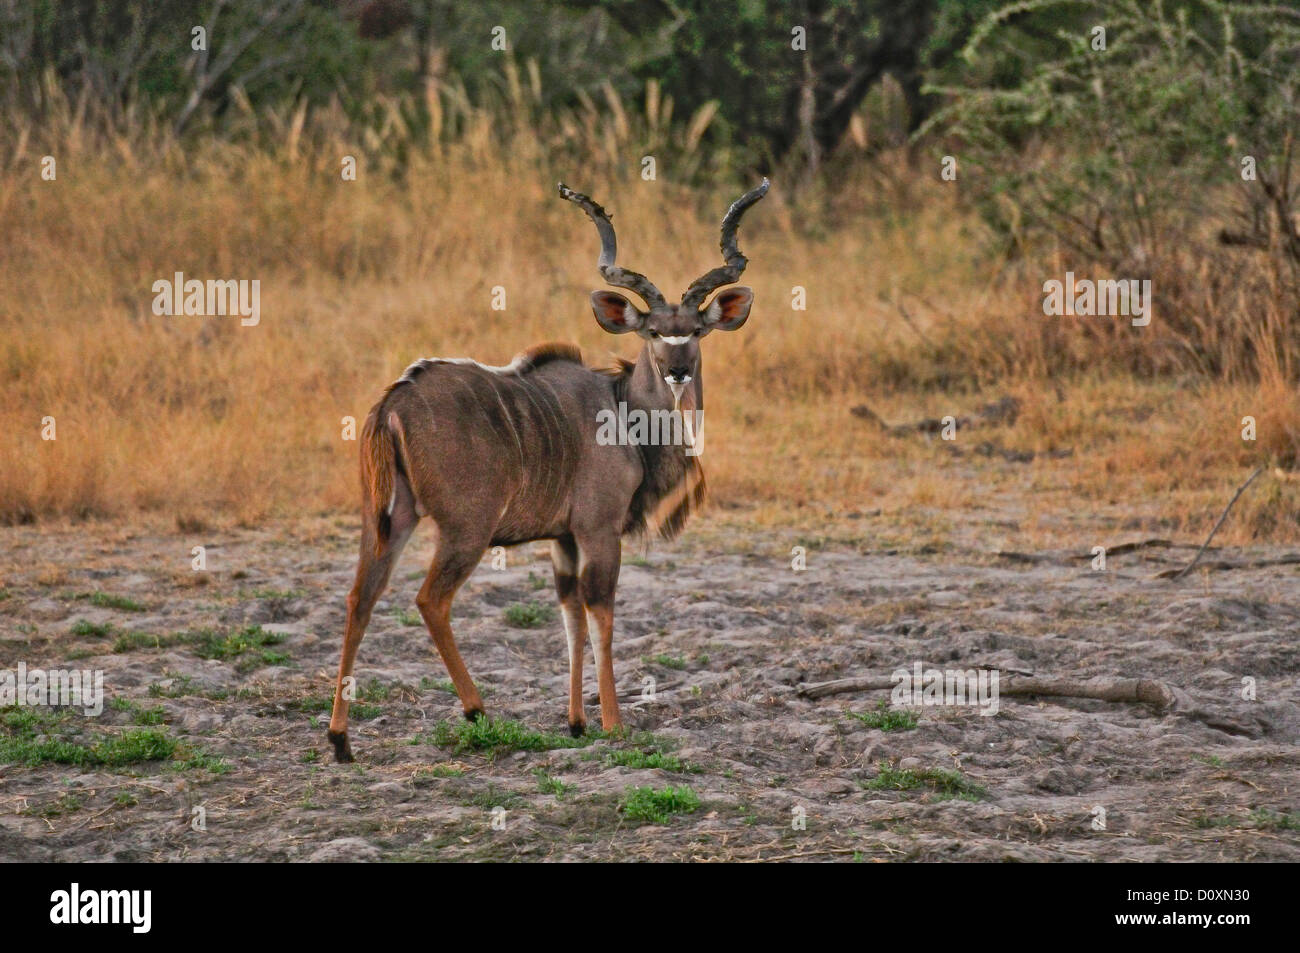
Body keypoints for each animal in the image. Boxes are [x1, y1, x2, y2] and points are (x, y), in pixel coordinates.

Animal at [326, 178, 769, 762]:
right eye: (652, 331)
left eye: (696, 329)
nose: (677, 370)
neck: (624, 411)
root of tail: (391, 404)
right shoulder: (598, 530)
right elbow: (600, 613)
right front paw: (612, 723)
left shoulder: (563, 539)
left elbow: (570, 616)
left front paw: (577, 722)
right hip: (467, 529)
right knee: (429, 599)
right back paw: (476, 710)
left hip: (388, 520)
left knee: (360, 597)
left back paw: (340, 739)